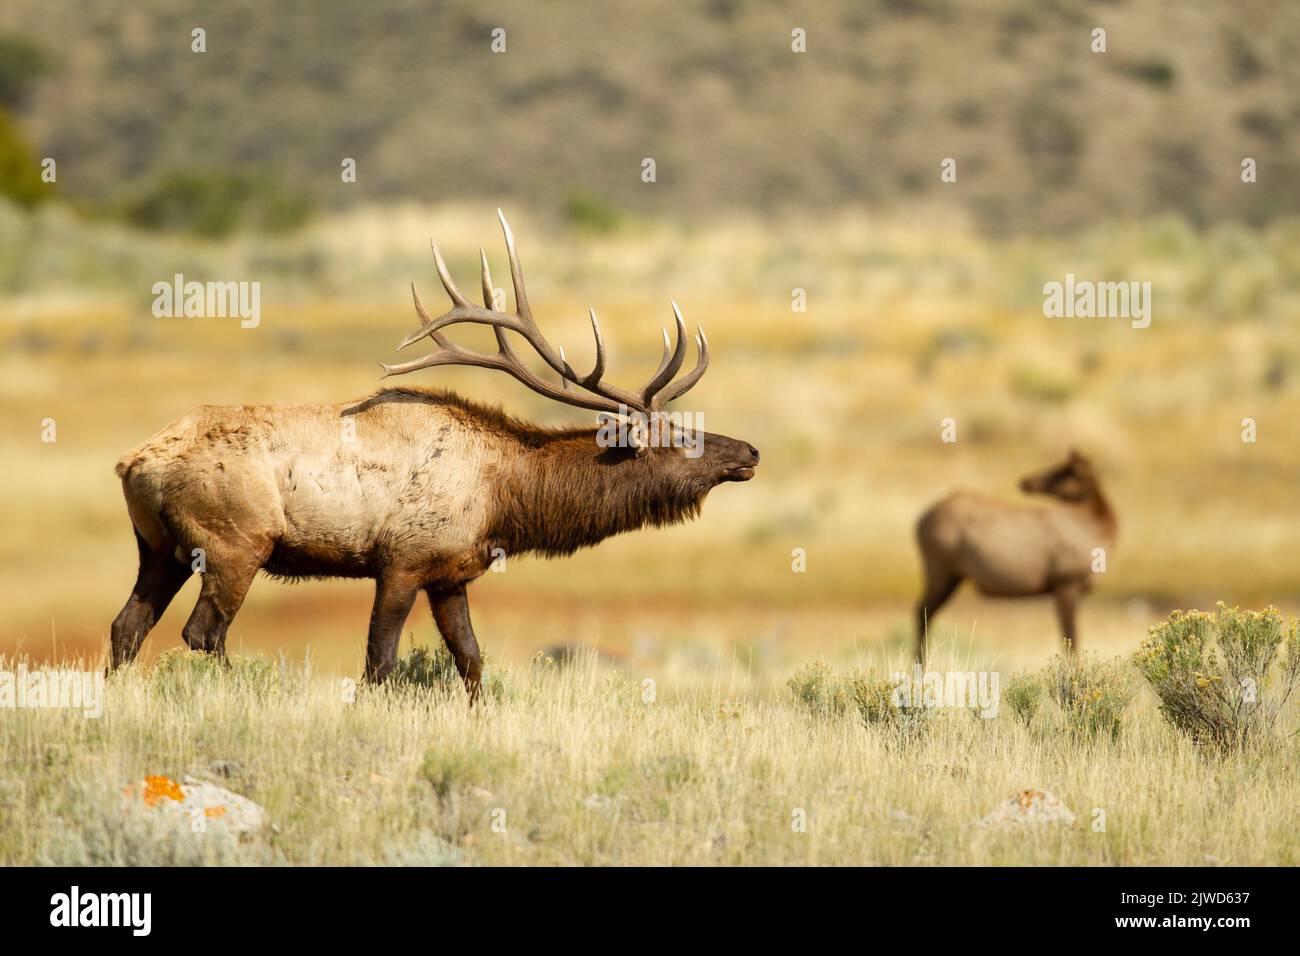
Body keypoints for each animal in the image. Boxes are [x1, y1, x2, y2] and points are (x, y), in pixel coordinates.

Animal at [109, 212, 760, 700]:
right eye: (679, 438)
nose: (750, 450)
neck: (504, 499)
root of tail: (133, 462)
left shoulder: (451, 573)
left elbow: (471, 659)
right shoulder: (402, 559)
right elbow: (380, 661)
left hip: (158, 547)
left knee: (126, 626)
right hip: (234, 542)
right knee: (203, 632)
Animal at [913, 450, 1116, 661]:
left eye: (1064, 471)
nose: (1027, 482)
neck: (1099, 530)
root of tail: (922, 514)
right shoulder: (1066, 583)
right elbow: (1071, 636)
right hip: (940, 570)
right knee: (922, 611)